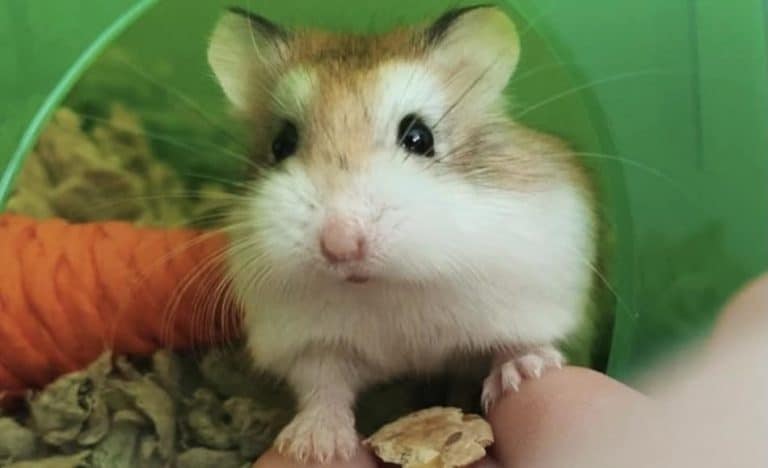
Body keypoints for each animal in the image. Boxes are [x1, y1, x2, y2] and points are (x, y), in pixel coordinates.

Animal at [207, 4, 597, 464]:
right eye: (282, 143)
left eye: (419, 137)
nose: (341, 246)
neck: (387, 286)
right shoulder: (309, 342)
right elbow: (323, 385)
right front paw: (314, 446)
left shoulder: (531, 298)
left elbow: (517, 340)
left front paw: (525, 373)